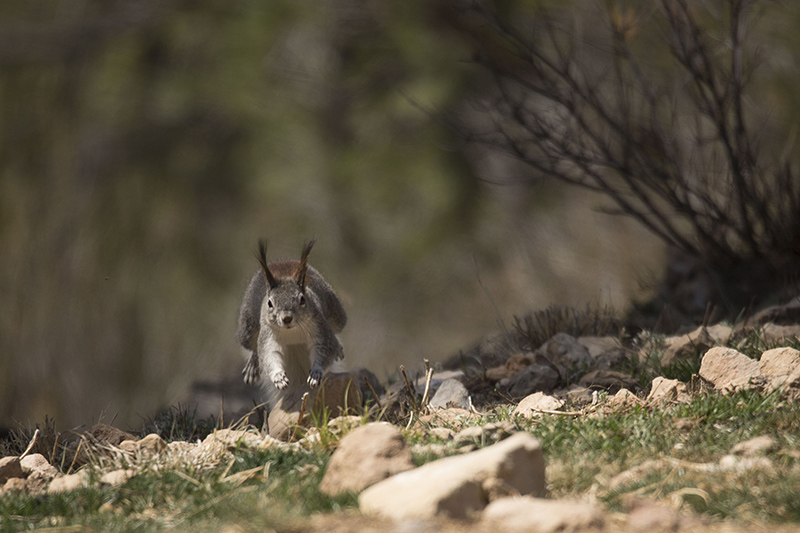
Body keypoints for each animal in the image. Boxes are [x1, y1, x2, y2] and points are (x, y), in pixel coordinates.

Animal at [235, 238, 346, 402]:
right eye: (270, 303)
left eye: (302, 299)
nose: (286, 318)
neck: (292, 334)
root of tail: (282, 262)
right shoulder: (268, 336)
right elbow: (270, 355)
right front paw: (278, 377)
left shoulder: (320, 327)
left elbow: (324, 348)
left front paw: (316, 373)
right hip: (247, 328)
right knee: (253, 346)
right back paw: (253, 365)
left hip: (336, 314)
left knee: (335, 332)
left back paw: (338, 347)